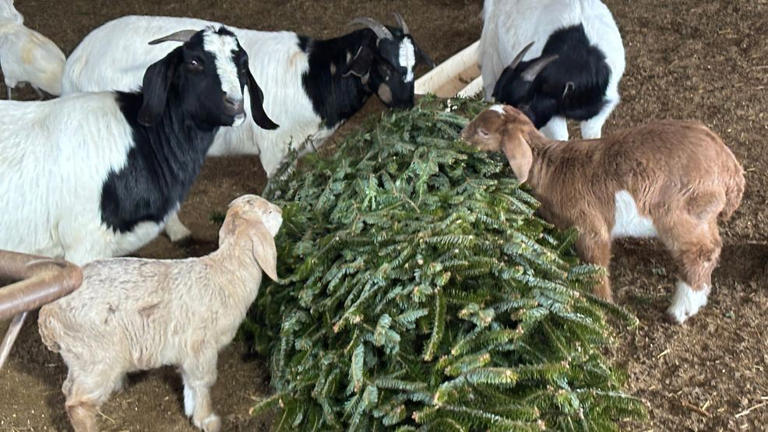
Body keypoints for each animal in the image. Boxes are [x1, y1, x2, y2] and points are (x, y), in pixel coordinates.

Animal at [39, 194, 282, 432]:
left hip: (79, 359)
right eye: (267, 212)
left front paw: (192, 412)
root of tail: (47, 314)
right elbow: (202, 382)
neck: (227, 272)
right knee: (77, 404)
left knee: (67, 389)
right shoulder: (201, 346)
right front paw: (208, 420)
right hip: (97, 358)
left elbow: (189, 381)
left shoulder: (187, 349)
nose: (280, 211)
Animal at [61, 13, 433, 242]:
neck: (313, 77)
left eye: (413, 63)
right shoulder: (274, 147)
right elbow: (274, 191)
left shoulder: (301, 146)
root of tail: (75, 62)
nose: (406, 105)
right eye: (384, 64)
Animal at [461, 105, 745, 323]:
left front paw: (602, 307)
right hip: (703, 216)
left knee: (700, 253)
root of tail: (731, 169)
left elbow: (595, 265)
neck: (549, 169)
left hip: (680, 213)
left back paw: (679, 310)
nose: (460, 136)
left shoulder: (588, 225)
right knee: (713, 246)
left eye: (484, 132)